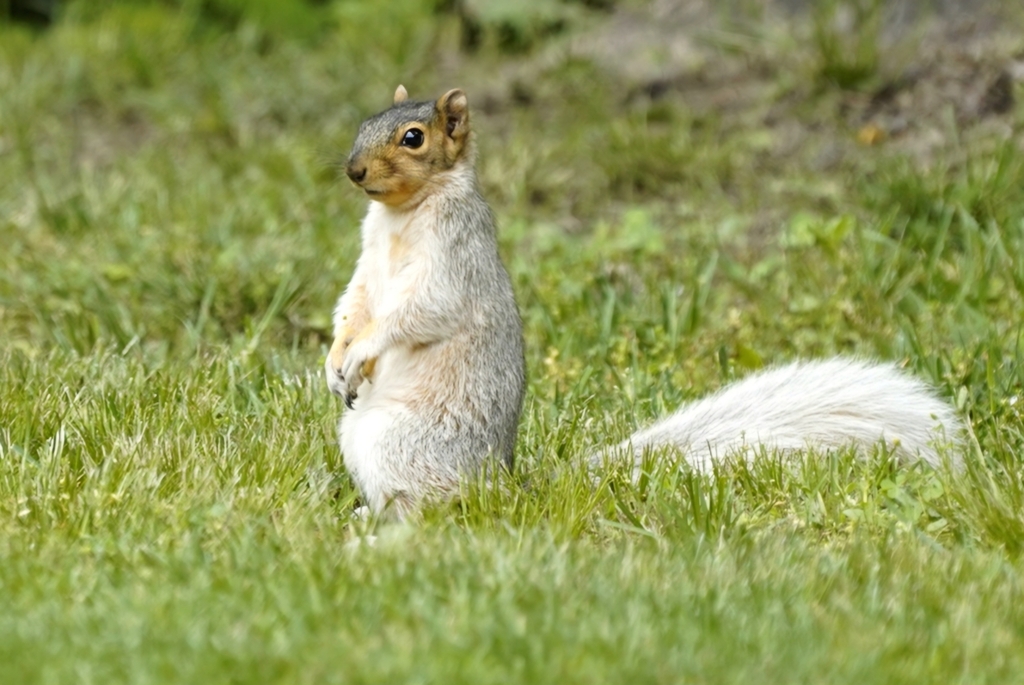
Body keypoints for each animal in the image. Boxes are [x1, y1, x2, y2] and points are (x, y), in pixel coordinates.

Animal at [325, 86, 963, 518]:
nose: (354, 170)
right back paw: (362, 516)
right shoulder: (366, 262)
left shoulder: (452, 261)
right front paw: (335, 360)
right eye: (364, 121)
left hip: (400, 443)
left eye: (414, 137)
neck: (401, 214)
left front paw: (359, 353)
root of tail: (498, 487)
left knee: (434, 511)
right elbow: (353, 302)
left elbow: (414, 312)